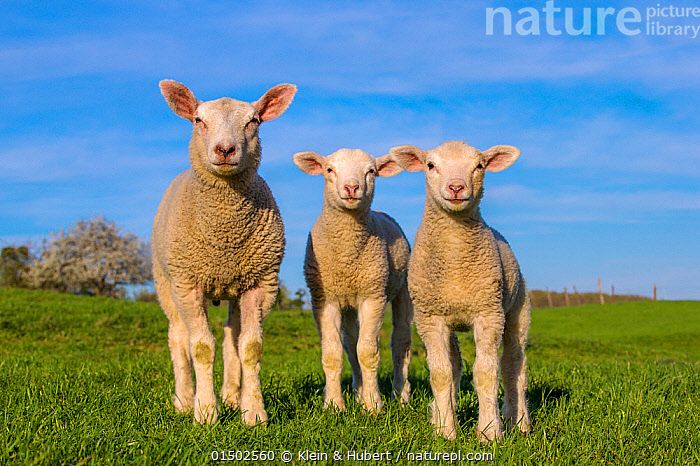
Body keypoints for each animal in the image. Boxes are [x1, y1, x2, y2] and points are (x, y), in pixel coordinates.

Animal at [153, 80, 296, 425]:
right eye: (198, 120)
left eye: (254, 121)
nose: (225, 150)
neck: (224, 235)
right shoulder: (188, 283)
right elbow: (202, 347)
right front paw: (205, 413)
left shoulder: (261, 282)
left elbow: (251, 347)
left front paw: (253, 412)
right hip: (166, 282)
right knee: (178, 336)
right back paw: (183, 399)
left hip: (235, 285)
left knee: (232, 335)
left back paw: (231, 397)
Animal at [293, 148, 413, 413]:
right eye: (329, 169)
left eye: (371, 171)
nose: (351, 187)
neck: (347, 255)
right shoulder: (323, 299)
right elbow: (334, 353)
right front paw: (334, 405)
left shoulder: (373, 295)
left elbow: (367, 351)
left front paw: (373, 405)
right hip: (347, 303)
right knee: (350, 342)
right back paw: (358, 392)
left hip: (402, 290)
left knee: (401, 342)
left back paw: (400, 396)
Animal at [389, 140, 530, 441]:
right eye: (430, 165)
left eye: (479, 165)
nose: (456, 187)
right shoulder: (430, 318)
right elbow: (441, 373)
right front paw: (445, 430)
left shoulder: (488, 314)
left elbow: (486, 373)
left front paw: (490, 432)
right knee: (455, 365)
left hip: (517, 308)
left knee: (514, 364)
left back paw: (519, 421)